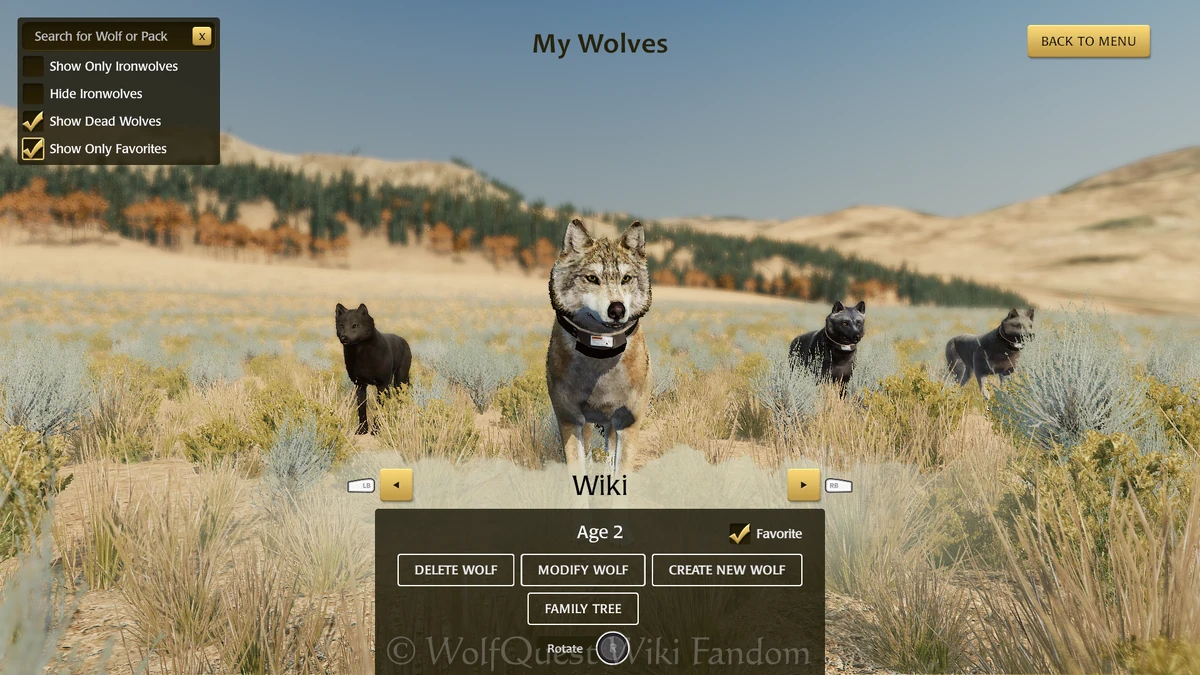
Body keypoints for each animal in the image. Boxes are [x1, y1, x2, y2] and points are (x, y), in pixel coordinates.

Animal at [335, 303, 412, 434]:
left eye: (355, 325)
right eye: (342, 325)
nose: (344, 338)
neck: (361, 353)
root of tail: (404, 341)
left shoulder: (382, 385)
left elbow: (378, 408)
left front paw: (376, 430)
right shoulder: (360, 385)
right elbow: (361, 409)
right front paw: (362, 430)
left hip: (400, 381)